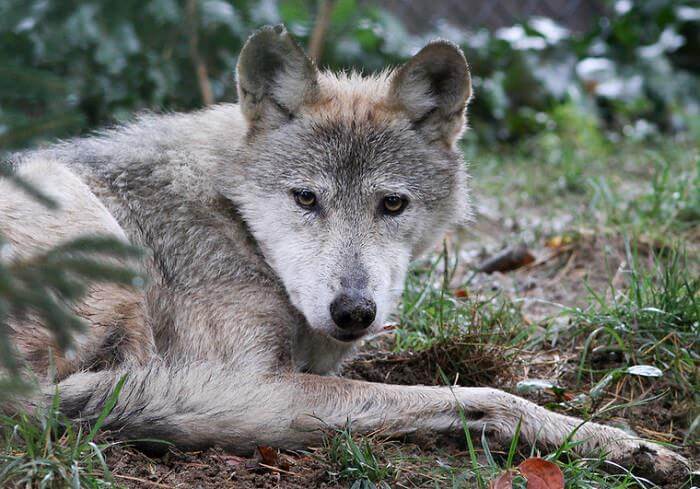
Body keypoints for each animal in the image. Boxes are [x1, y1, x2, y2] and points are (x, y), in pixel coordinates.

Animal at [1, 25, 688, 483]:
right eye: (306, 198)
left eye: (392, 204)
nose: (355, 311)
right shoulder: (258, 378)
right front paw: (618, 444)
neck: (232, 220)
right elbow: (486, 395)